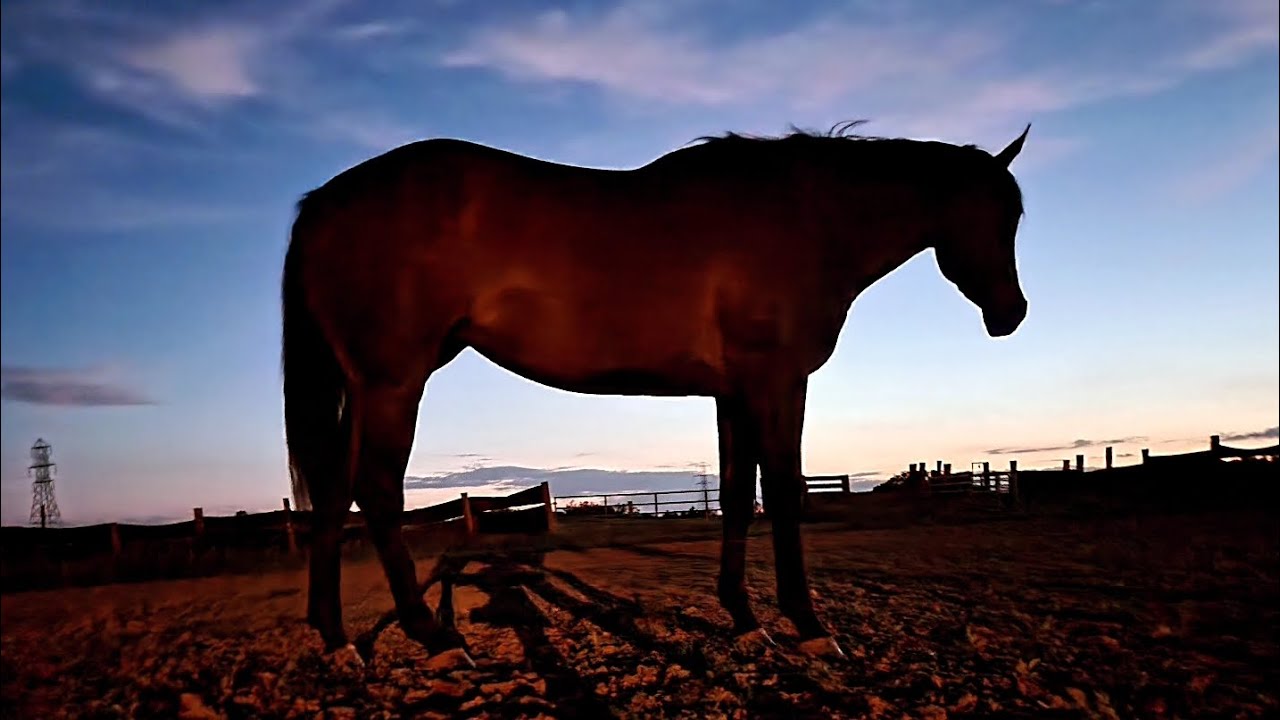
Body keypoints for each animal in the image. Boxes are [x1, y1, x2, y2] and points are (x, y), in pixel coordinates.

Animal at [282, 120, 1031, 664]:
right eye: (997, 216)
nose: (1011, 313)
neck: (802, 220)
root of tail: (322, 204)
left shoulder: (733, 392)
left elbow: (738, 497)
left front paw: (745, 620)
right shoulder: (776, 381)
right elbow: (785, 495)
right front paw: (809, 626)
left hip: (364, 386)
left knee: (333, 492)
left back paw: (339, 640)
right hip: (393, 381)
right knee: (377, 491)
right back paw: (434, 639)